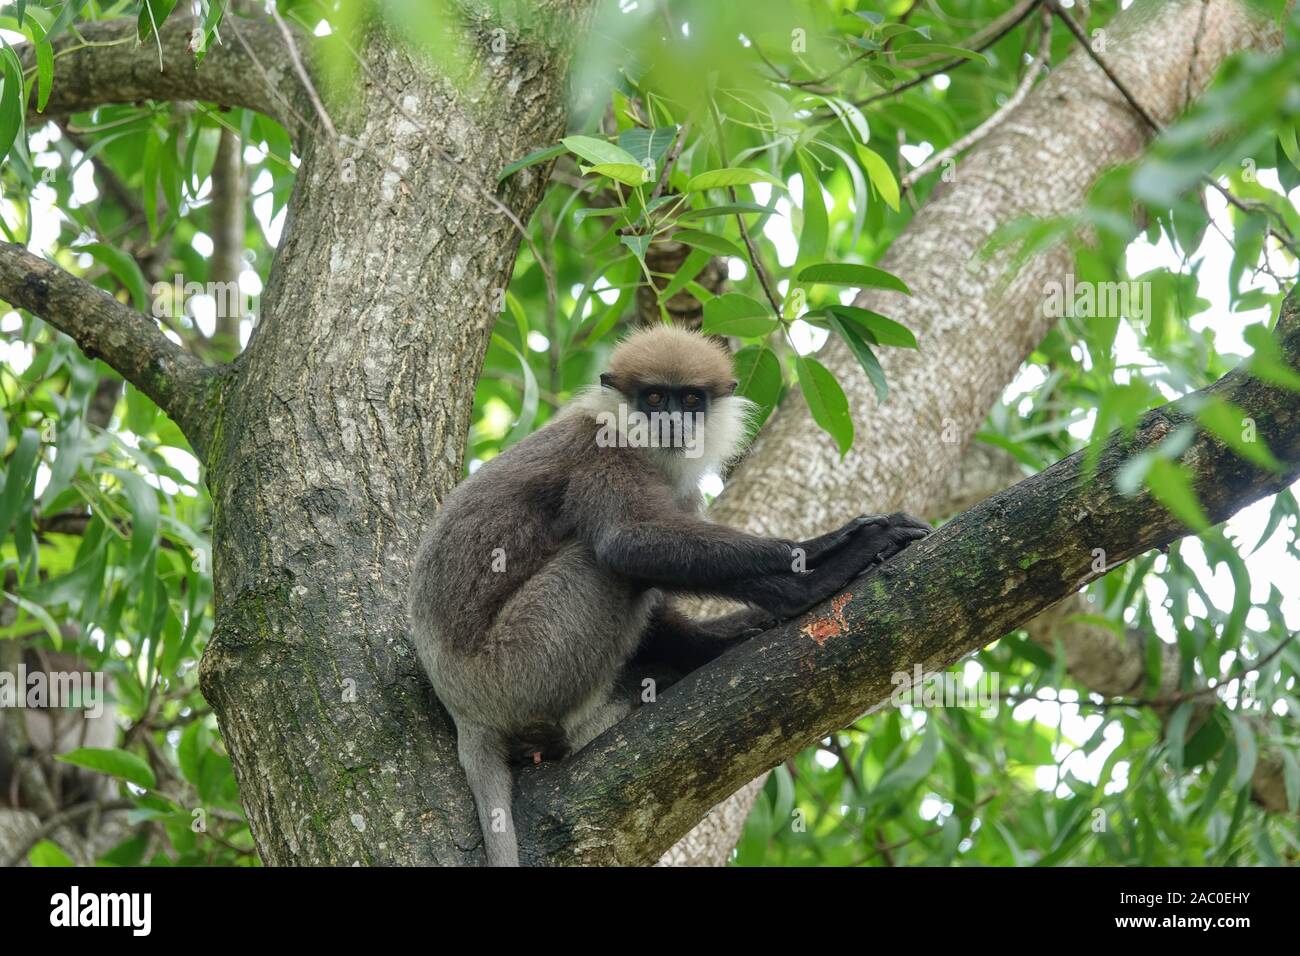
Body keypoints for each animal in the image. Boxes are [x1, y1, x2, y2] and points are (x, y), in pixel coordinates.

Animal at [407, 325, 930, 866]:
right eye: (655, 398)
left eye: (692, 399)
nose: (673, 421)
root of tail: (461, 705)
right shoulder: (602, 452)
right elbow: (629, 542)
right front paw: (824, 555)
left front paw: (730, 632)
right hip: (518, 665)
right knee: (600, 562)